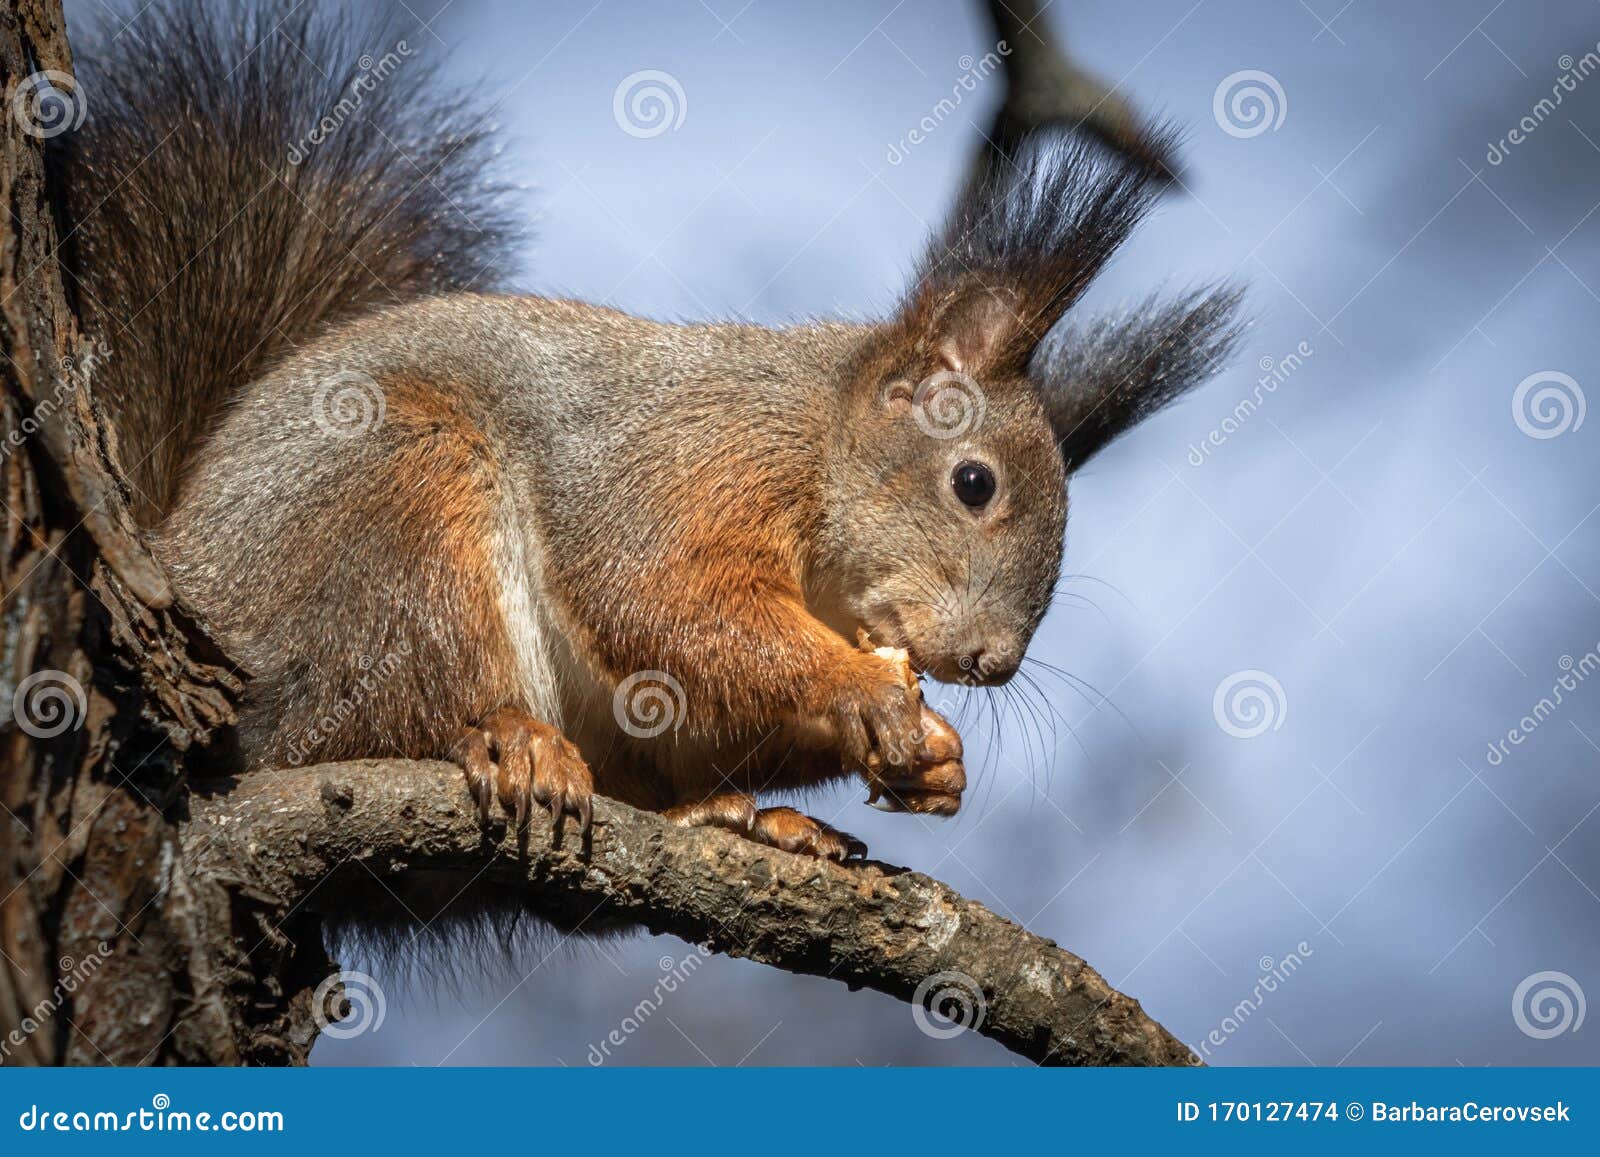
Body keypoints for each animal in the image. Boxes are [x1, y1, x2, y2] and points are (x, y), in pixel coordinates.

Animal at [60, 1, 1241, 869]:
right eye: (973, 483)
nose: (992, 664)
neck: (815, 442)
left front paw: (934, 765)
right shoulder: (694, 460)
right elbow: (659, 592)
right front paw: (865, 693)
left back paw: (739, 815)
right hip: (394, 500)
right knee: (361, 707)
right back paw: (502, 738)